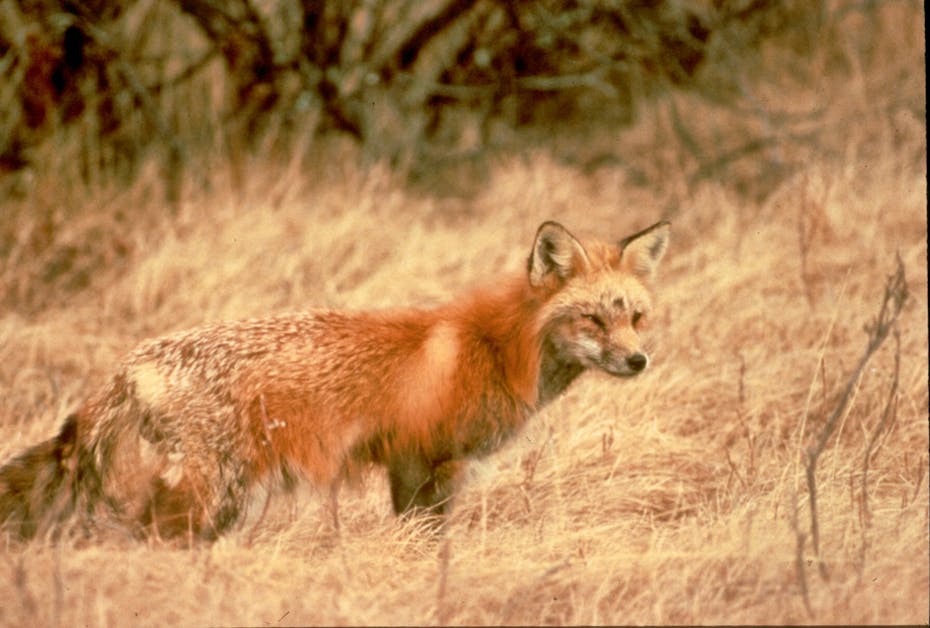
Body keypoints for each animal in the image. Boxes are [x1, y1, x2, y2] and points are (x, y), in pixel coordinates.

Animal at [0, 220, 669, 542]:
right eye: (592, 319)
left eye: (635, 318)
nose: (639, 362)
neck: (496, 347)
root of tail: (127, 364)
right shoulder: (421, 460)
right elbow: (424, 540)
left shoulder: (423, 467)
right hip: (214, 495)